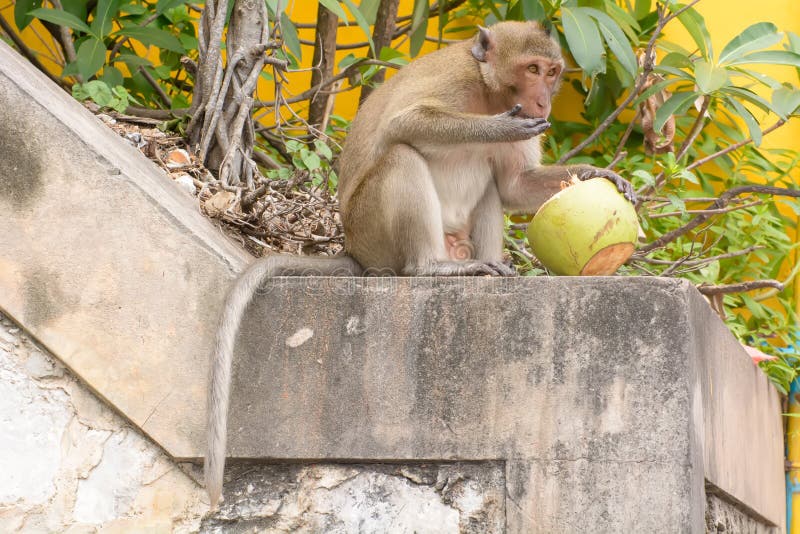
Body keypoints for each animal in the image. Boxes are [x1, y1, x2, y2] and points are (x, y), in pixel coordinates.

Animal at [204, 20, 636, 508]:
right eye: (531, 69)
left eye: (552, 72)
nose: (543, 100)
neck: (486, 90)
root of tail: (355, 252)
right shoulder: (456, 82)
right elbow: (405, 123)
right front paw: (497, 127)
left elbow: (515, 186)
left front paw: (596, 174)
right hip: (374, 230)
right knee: (402, 155)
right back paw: (430, 268)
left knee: (490, 187)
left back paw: (486, 267)